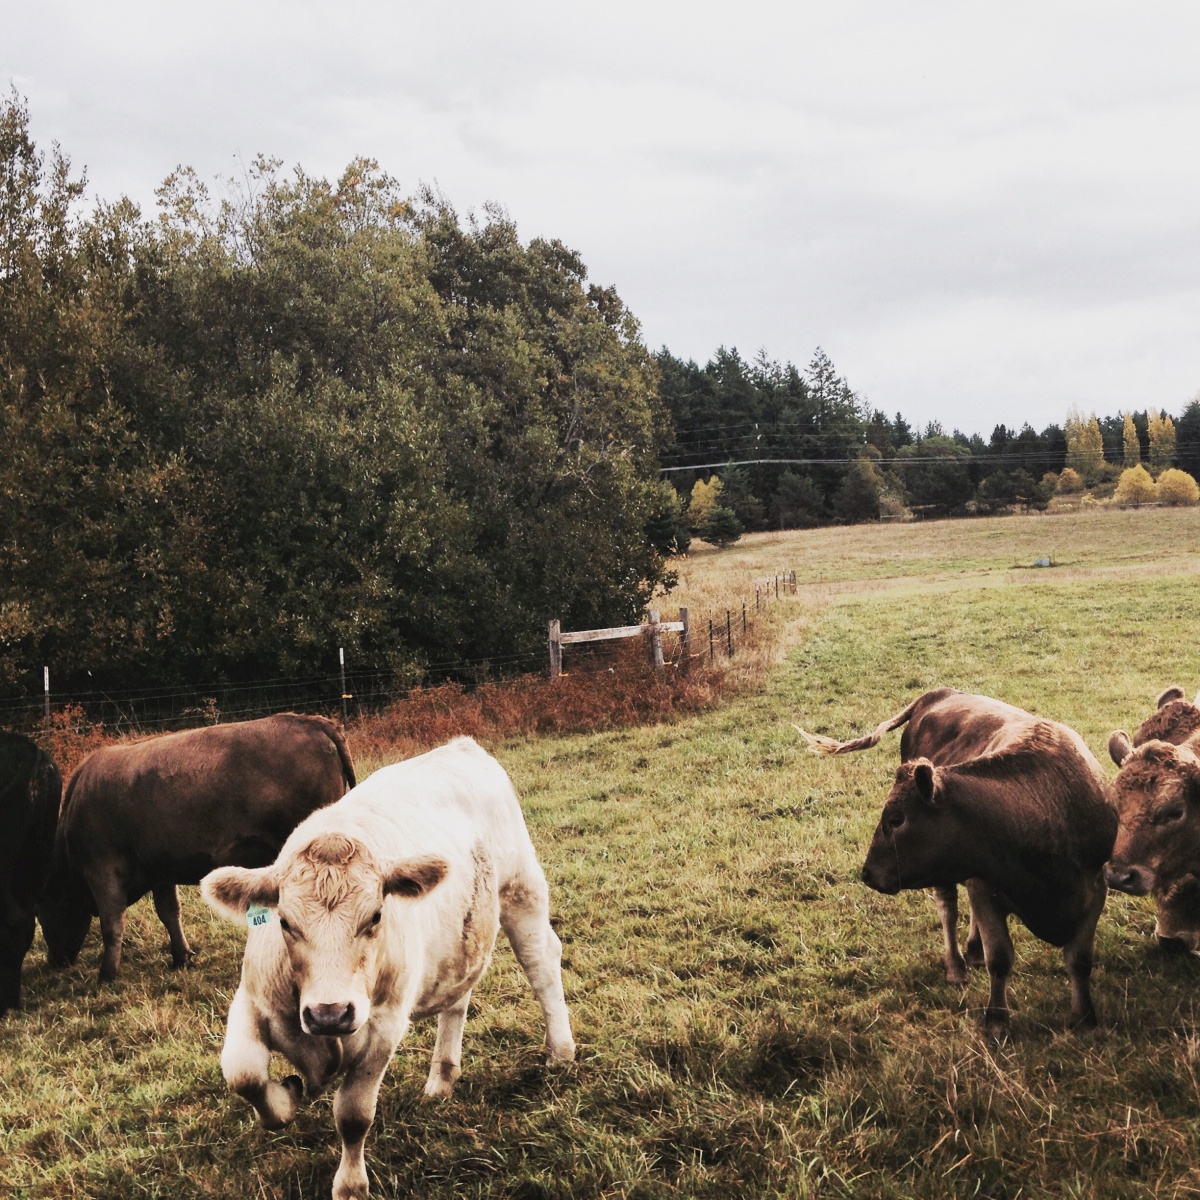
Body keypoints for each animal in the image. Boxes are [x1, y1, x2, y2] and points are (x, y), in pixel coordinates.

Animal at [38, 713, 355, 983]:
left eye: (43, 915)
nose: (54, 961)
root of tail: (313, 722)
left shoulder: (102, 870)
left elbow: (111, 923)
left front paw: (106, 974)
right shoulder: (160, 870)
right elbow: (169, 913)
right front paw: (181, 956)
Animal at [200, 736, 575, 1200]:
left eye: (376, 916)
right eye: (284, 922)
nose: (329, 1013)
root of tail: (460, 747)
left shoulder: (384, 1026)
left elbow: (353, 1114)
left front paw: (350, 1186)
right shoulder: (251, 1000)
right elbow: (243, 1073)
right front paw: (284, 1098)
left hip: (522, 890)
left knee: (542, 965)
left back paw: (560, 1052)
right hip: (461, 936)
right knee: (458, 999)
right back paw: (442, 1079)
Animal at [796, 688, 1116, 1039]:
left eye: (896, 819)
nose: (868, 873)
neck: (1044, 806)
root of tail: (938, 693)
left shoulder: (1095, 887)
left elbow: (1079, 959)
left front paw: (1085, 1017)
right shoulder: (984, 885)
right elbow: (1000, 958)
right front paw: (996, 1021)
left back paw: (973, 950)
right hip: (946, 876)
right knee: (948, 908)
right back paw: (956, 966)